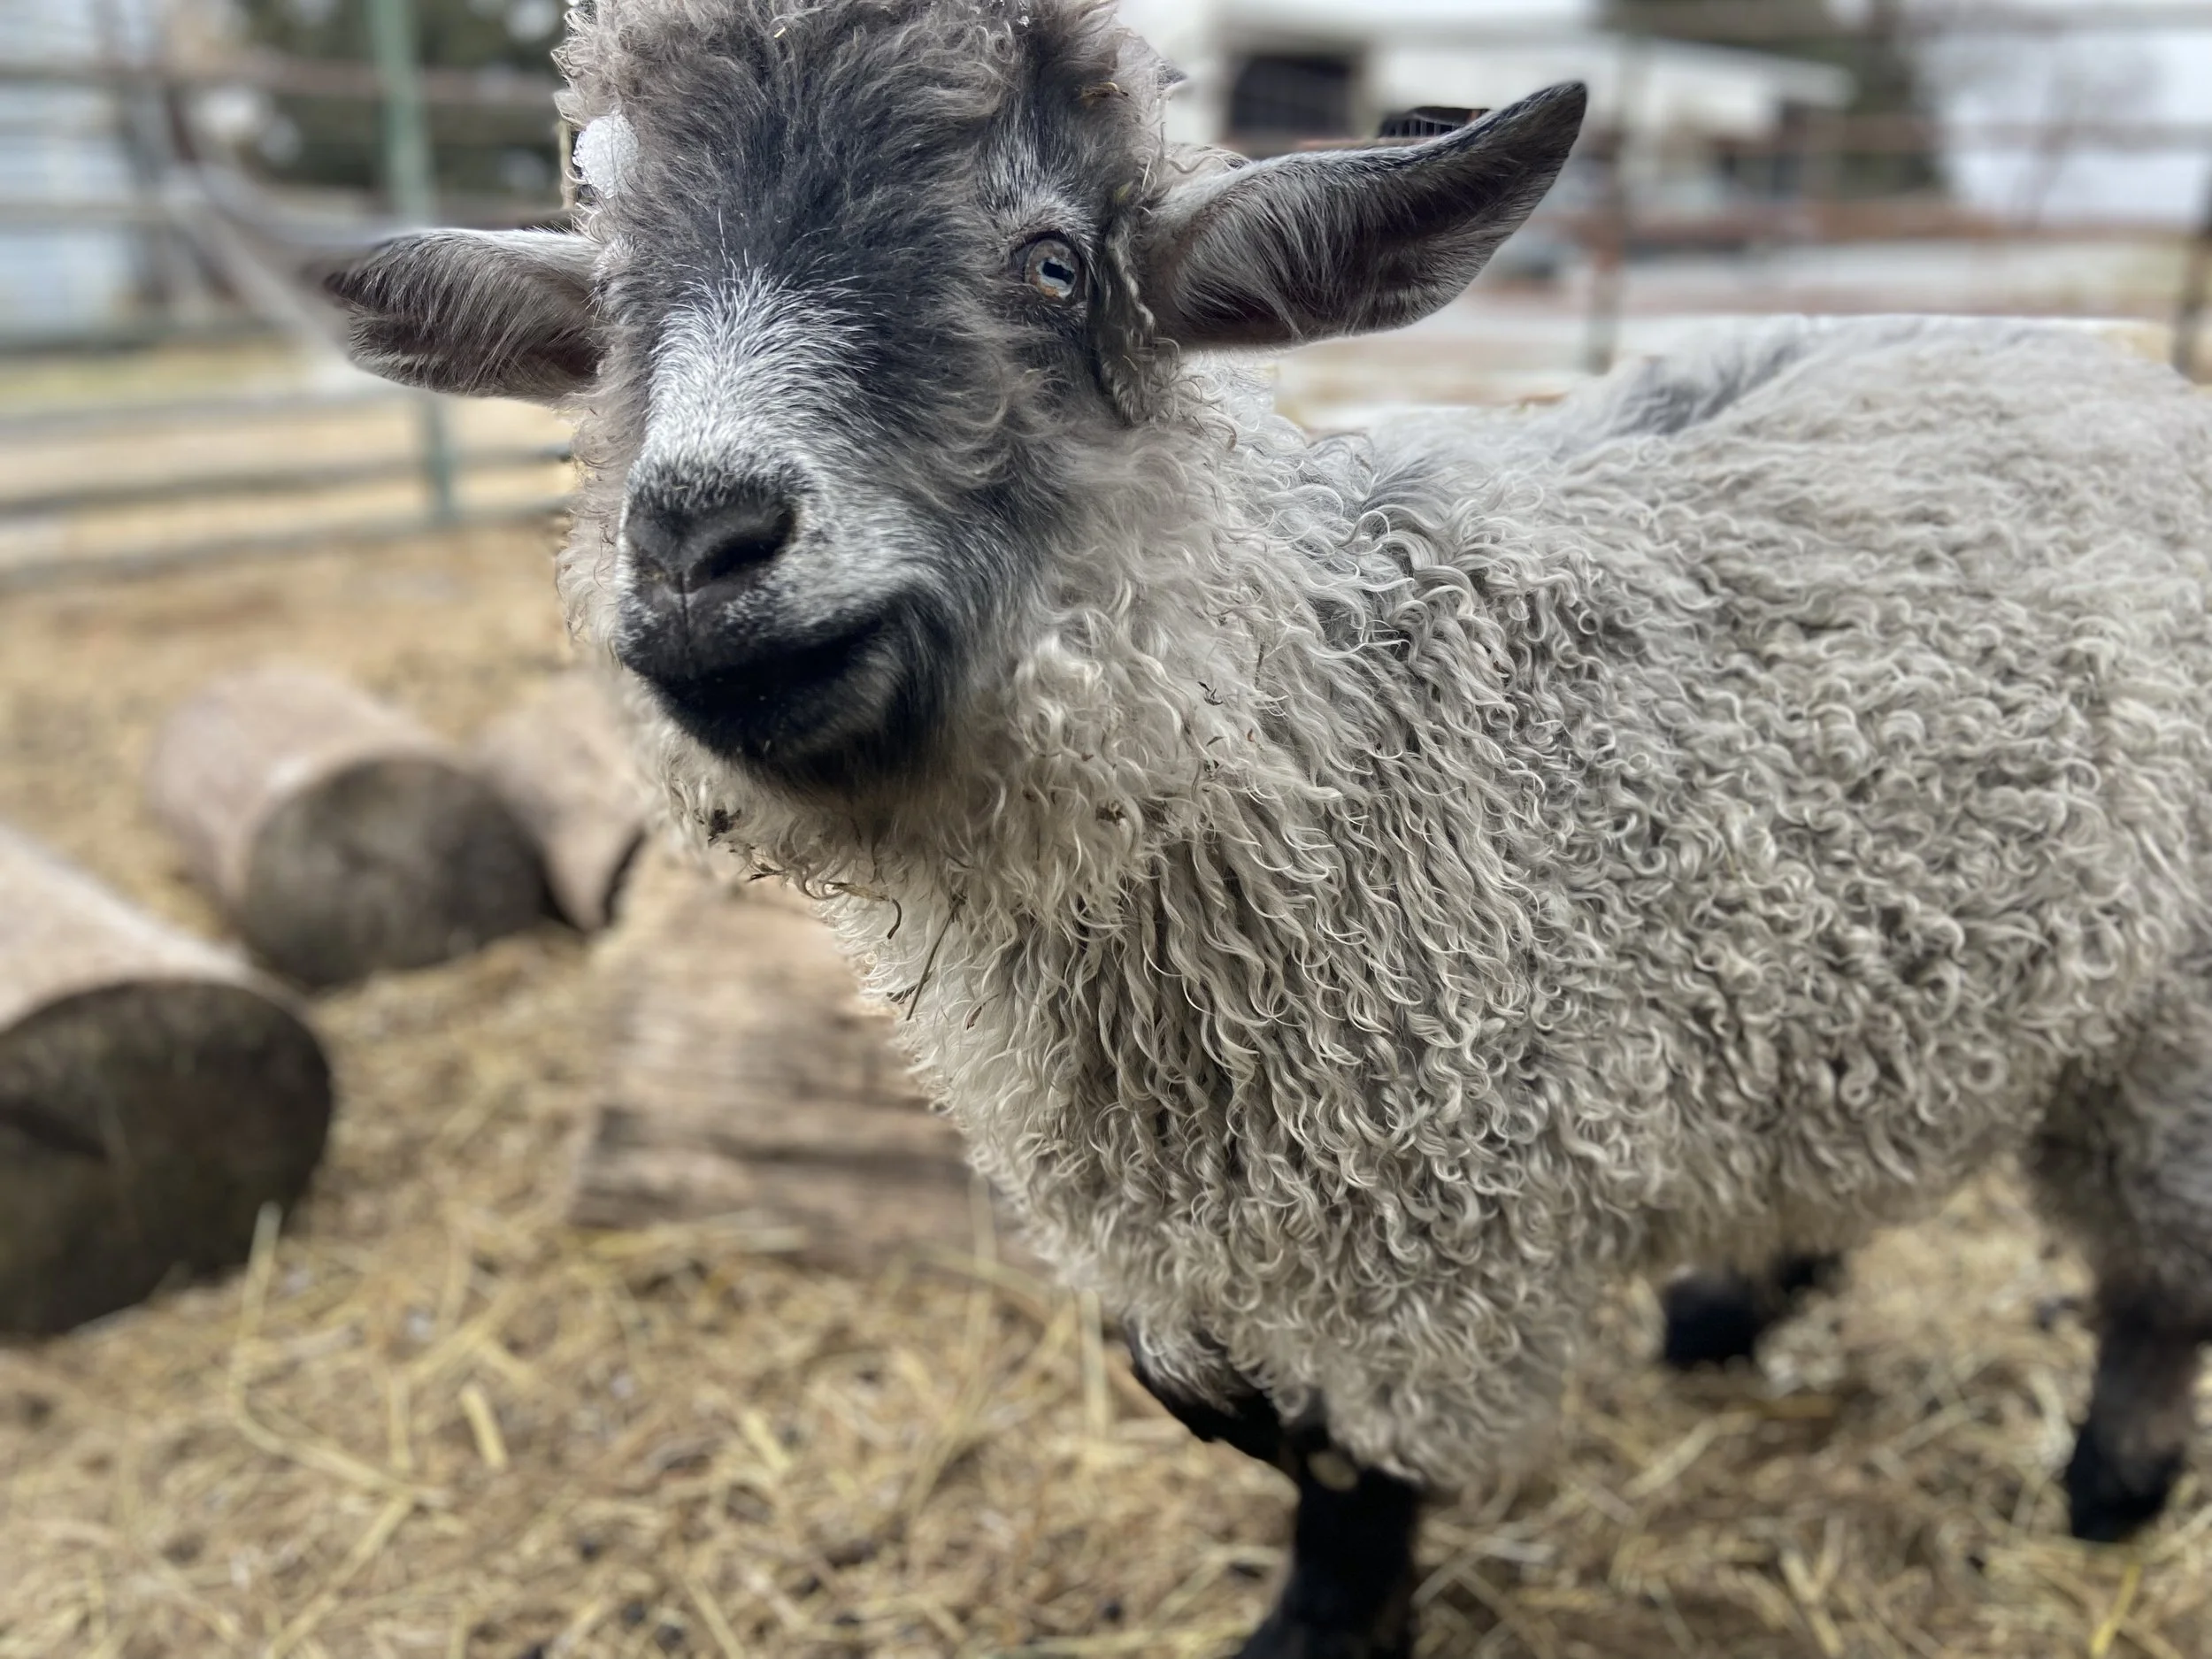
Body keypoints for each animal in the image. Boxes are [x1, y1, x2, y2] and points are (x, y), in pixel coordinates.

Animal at [320, 2, 2212, 1653]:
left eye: (1050, 264)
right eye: (613, 315)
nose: (703, 543)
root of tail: (2114, 375)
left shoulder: (1429, 1222)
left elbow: (1347, 1470)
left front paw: (1318, 1625)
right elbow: (1206, 1391)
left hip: (2165, 1027)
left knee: (2156, 1281)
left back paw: (2113, 1484)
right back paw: (1733, 1310)